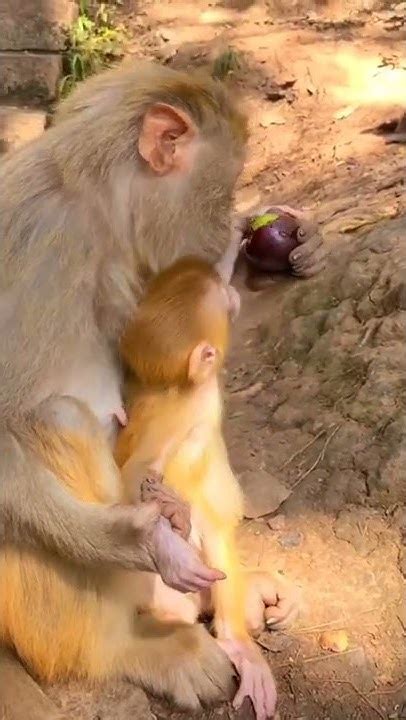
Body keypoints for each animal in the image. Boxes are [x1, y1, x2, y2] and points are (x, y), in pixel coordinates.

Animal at [115, 257, 300, 719]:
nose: (231, 292)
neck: (176, 385)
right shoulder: (187, 407)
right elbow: (136, 474)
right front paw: (168, 536)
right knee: (211, 533)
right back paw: (237, 642)